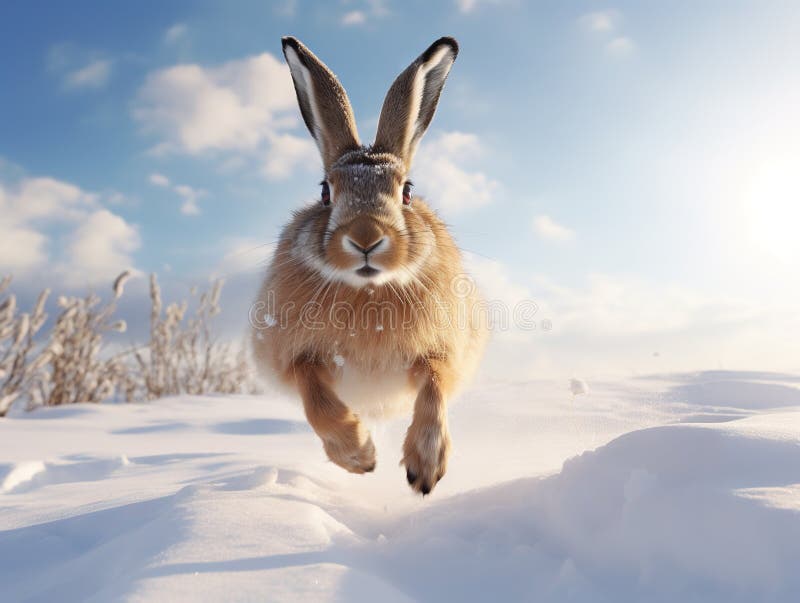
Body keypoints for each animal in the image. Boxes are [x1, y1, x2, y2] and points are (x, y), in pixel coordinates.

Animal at [251, 36, 486, 495]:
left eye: (407, 191)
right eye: (325, 192)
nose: (365, 239)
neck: (368, 291)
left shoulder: (442, 351)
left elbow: (434, 385)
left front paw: (425, 467)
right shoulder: (294, 356)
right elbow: (315, 396)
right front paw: (358, 455)